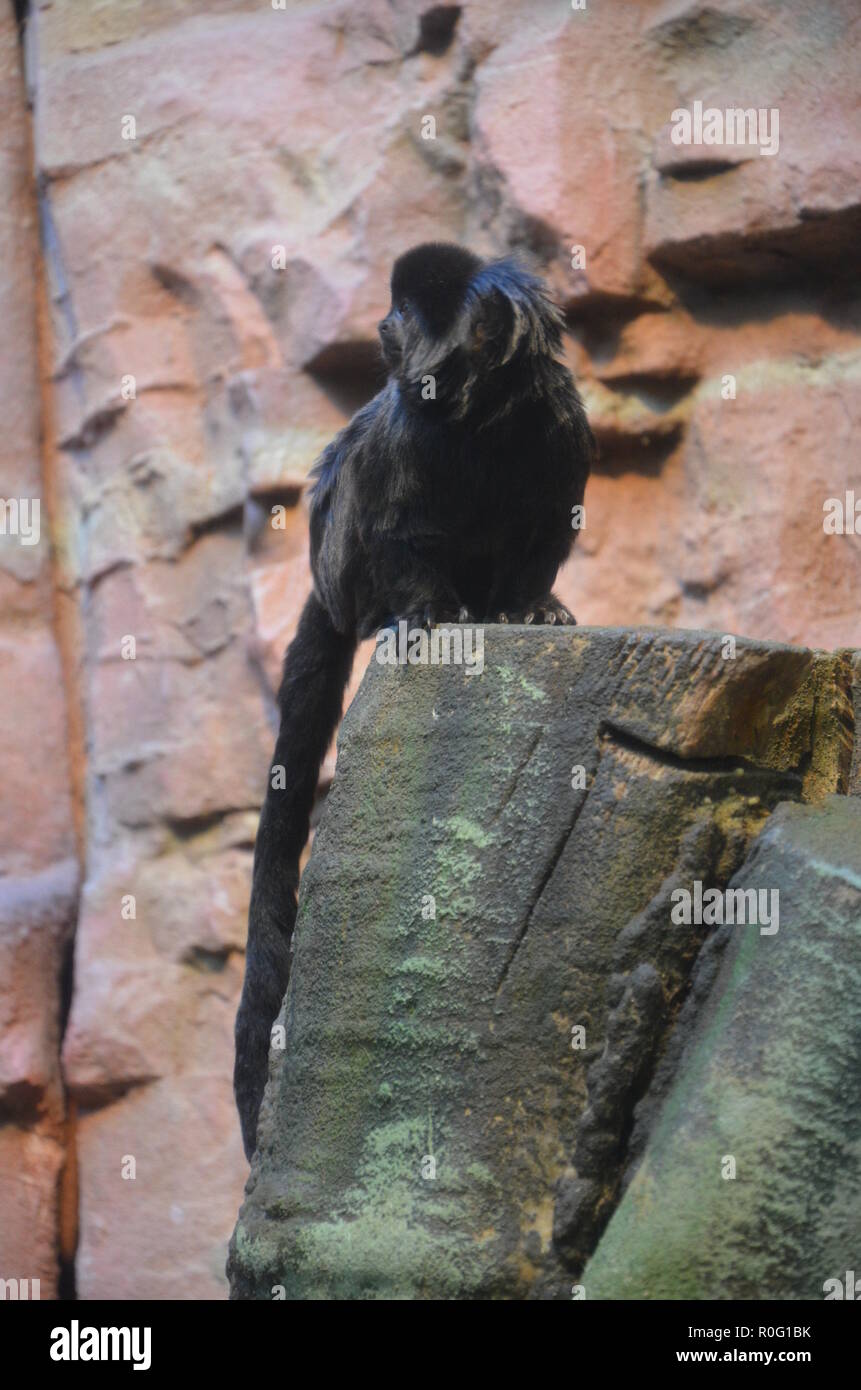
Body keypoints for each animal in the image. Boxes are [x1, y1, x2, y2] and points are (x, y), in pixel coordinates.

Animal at [234, 242, 594, 1158]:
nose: (379, 325)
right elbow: (400, 526)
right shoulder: (408, 429)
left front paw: (532, 606)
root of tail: (324, 591)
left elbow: (547, 527)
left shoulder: (559, 420)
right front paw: (428, 612)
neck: (483, 417)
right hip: (341, 566)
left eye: (400, 312)